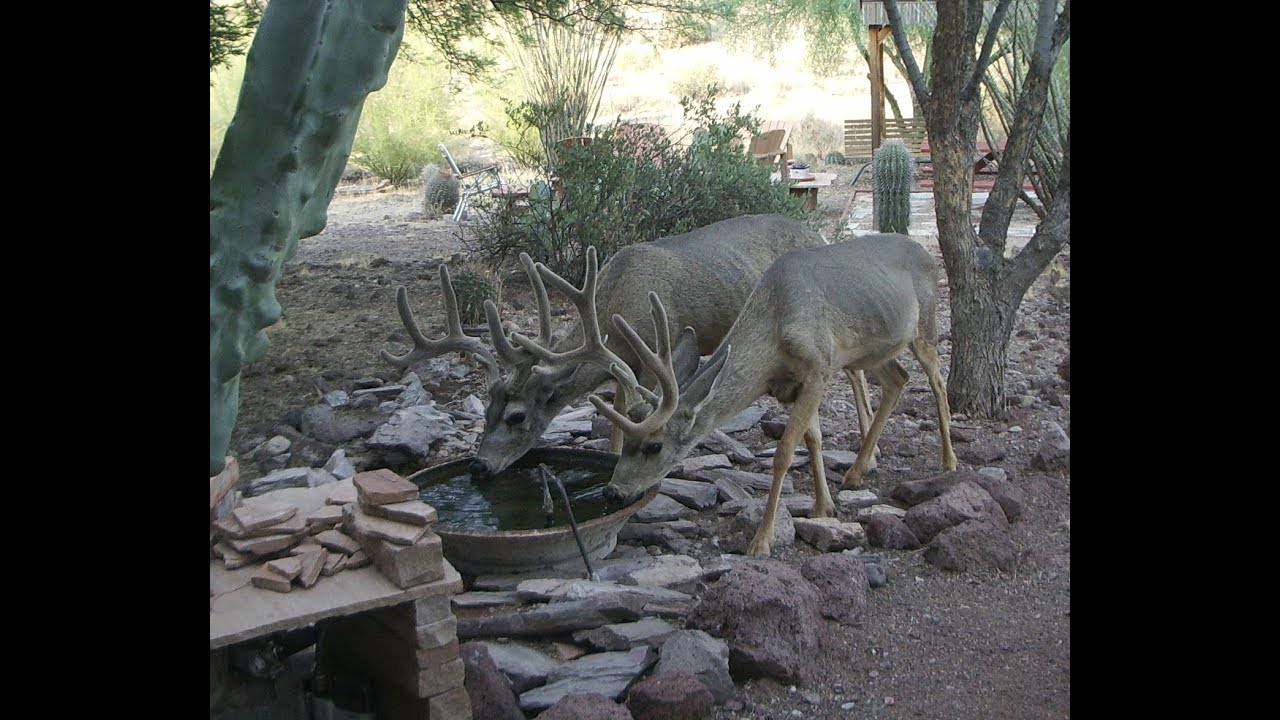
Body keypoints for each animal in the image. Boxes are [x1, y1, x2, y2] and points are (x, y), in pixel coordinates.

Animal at [381, 214, 882, 479]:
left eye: (517, 416)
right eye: (484, 412)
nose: (480, 468)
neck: (612, 307)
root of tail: (816, 232)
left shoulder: (656, 349)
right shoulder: (623, 363)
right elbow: (620, 410)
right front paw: (611, 457)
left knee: (856, 368)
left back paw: (868, 454)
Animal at [584, 233, 959, 556]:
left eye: (654, 446)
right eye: (627, 445)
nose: (613, 491)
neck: (776, 330)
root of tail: (926, 253)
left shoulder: (819, 367)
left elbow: (783, 453)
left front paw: (761, 540)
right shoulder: (794, 385)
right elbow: (813, 439)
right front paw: (824, 506)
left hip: (925, 325)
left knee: (937, 382)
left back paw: (949, 461)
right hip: (874, 349)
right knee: (898, 379)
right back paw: (856, 472)